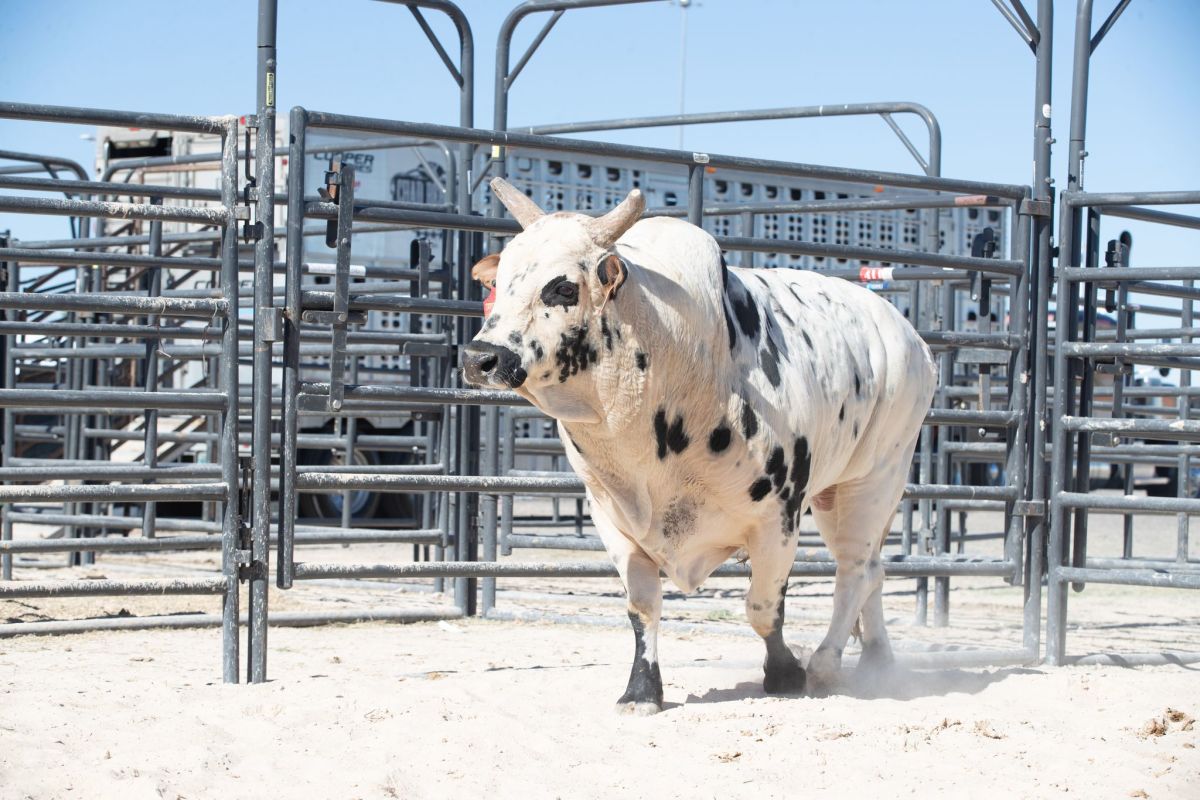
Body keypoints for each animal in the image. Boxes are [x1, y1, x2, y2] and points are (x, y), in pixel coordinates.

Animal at [463, 178, 937, 714]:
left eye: (563, 287)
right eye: (497, 283)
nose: (480, 358)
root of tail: (910, 337)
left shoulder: (778, 518)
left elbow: (763, 608)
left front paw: (784, 672)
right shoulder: (614, 518)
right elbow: (643, 607)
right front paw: (642, 690)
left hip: (873, 480)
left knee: (855, 570)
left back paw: (824, 665)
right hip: (841, 493)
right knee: (873, 570)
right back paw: (878, 662)